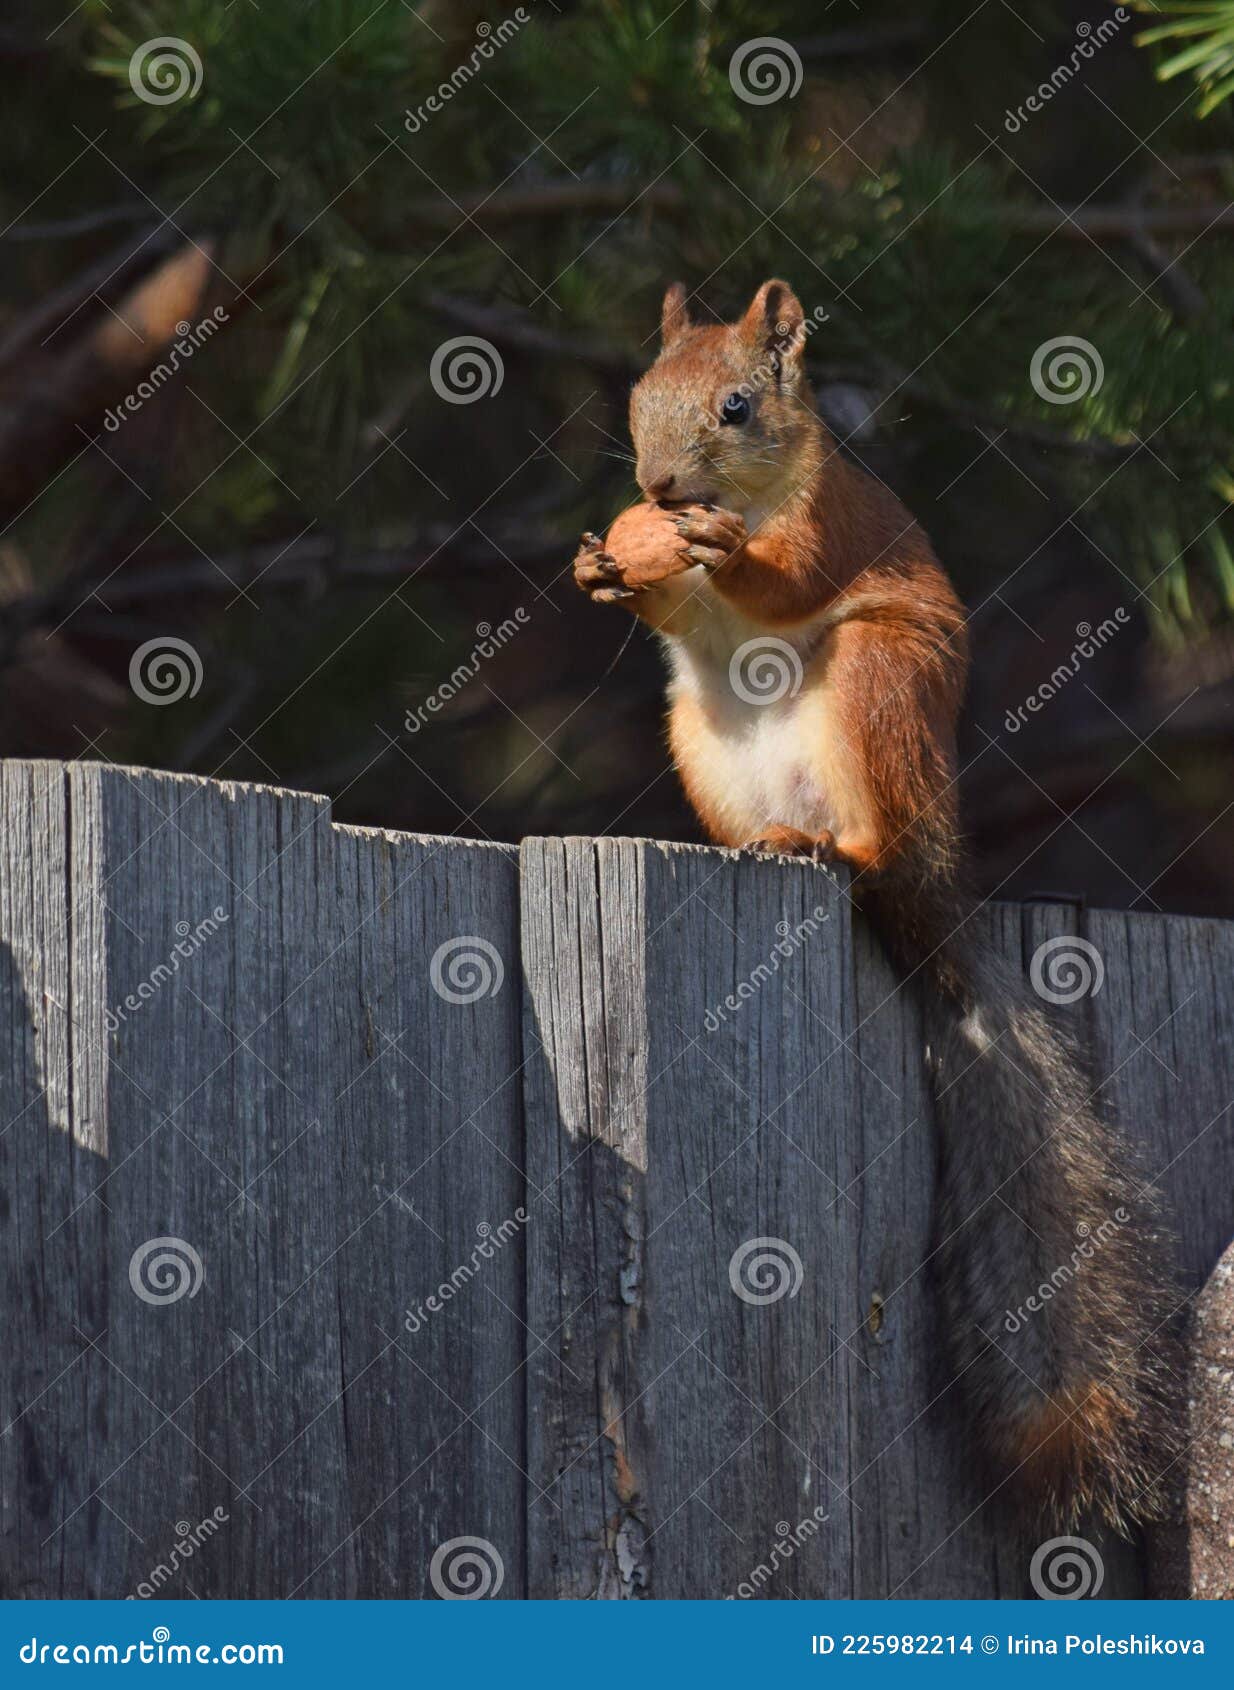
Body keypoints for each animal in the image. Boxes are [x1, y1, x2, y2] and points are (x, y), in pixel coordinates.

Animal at [572, 278, 1179, 1530]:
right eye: (639, 396)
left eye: (738, 406)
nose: (657, 489)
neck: (752, 492)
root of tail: (932, 888)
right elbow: (671, 610)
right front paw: (603, 565)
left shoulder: (831, 527)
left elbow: (782, 579)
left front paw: (714, 550)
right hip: (698, 738)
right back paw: (762, 839)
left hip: (875, 685)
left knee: (867, 842)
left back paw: (828, 843)